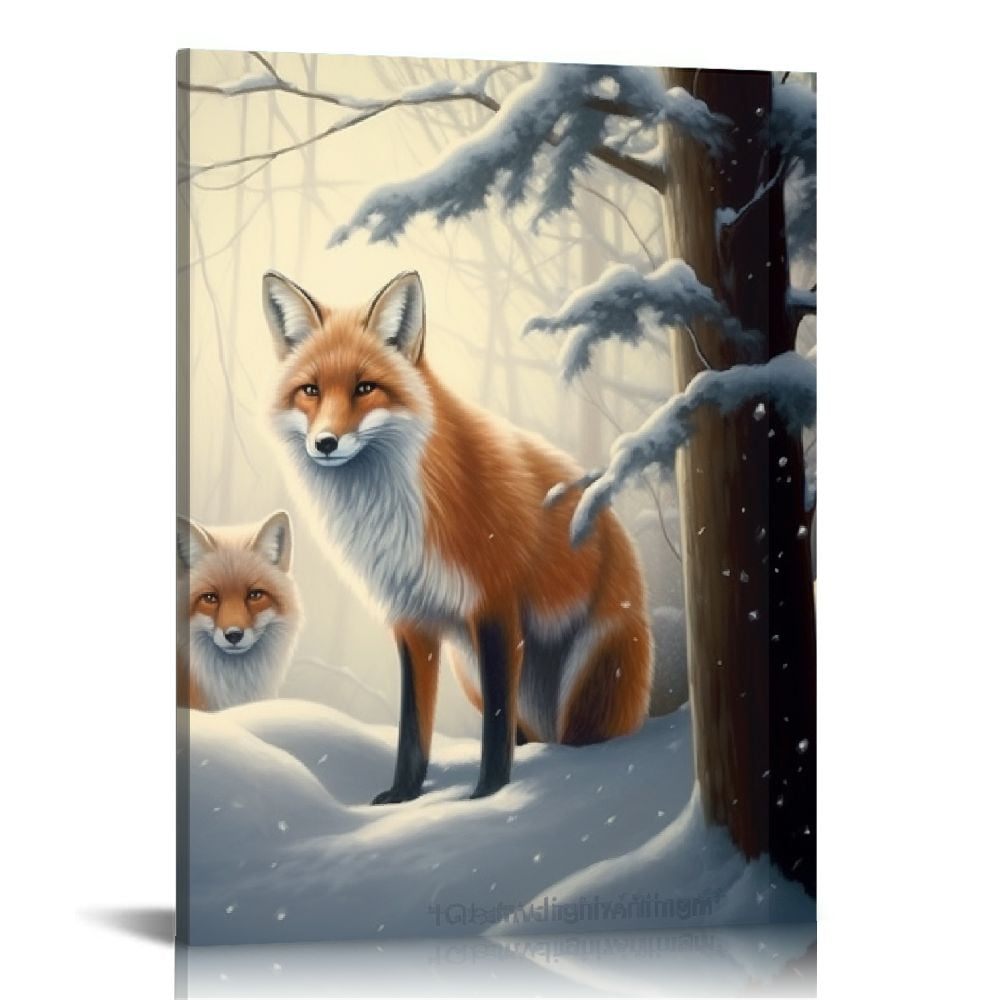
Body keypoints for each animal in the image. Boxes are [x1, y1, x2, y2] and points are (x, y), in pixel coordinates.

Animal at [262, 269, 652, 803]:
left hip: (585, 677)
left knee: (581, 739)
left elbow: (496, 726)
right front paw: (404, 795)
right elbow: (413, 725)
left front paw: (489, 793)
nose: (324, 443)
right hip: (471, 672)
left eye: (365, 387)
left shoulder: (495, 605)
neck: (395, 511)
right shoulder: (413, 619)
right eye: (310, 390)